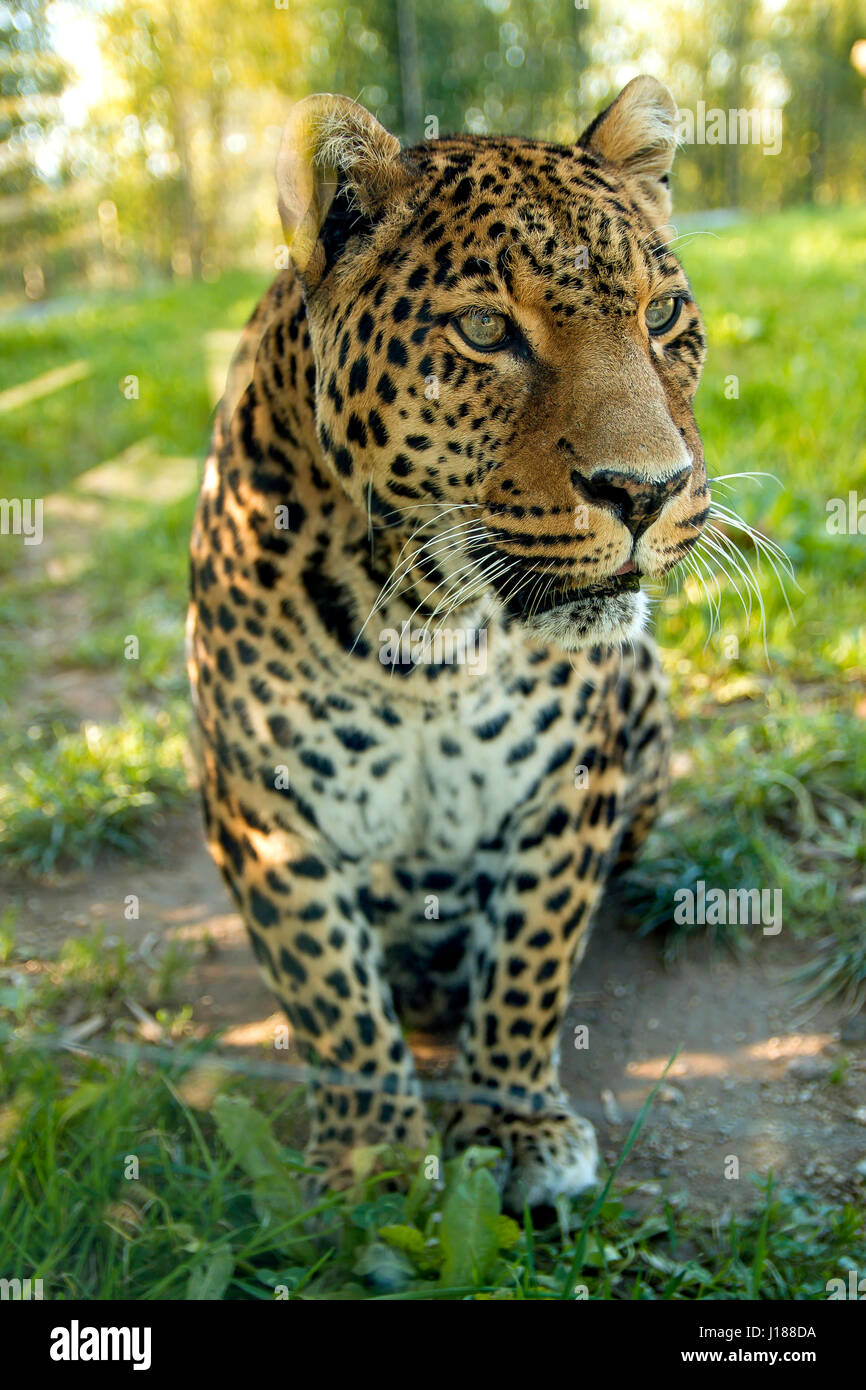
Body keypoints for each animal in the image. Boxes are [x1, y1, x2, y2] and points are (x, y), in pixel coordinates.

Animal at [186, 75, 708, 1211]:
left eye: (660, 315)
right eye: (483, 330)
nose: (647, 490)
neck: (430, 633)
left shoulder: (570, 779)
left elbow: (530, 961)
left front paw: (513, 1127)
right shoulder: (261, 804)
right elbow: (329, 988)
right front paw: (377, 1154)